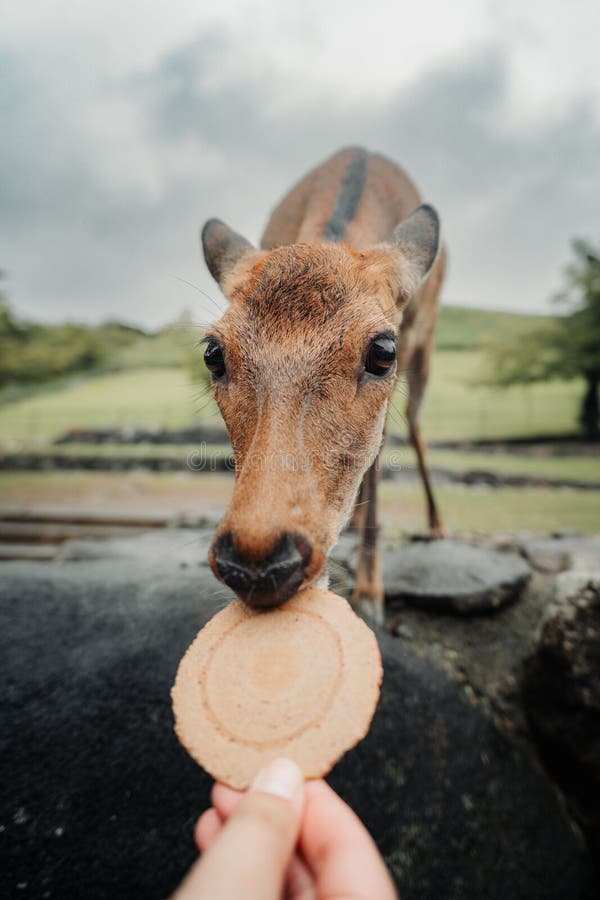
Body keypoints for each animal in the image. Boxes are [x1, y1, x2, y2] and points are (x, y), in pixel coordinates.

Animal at [200, 147, 445, 624]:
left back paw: (436, 524)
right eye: (213, 353)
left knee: (414, 425)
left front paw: (371, 593)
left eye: (382, 350)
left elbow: (380, 450)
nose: (257, 563)